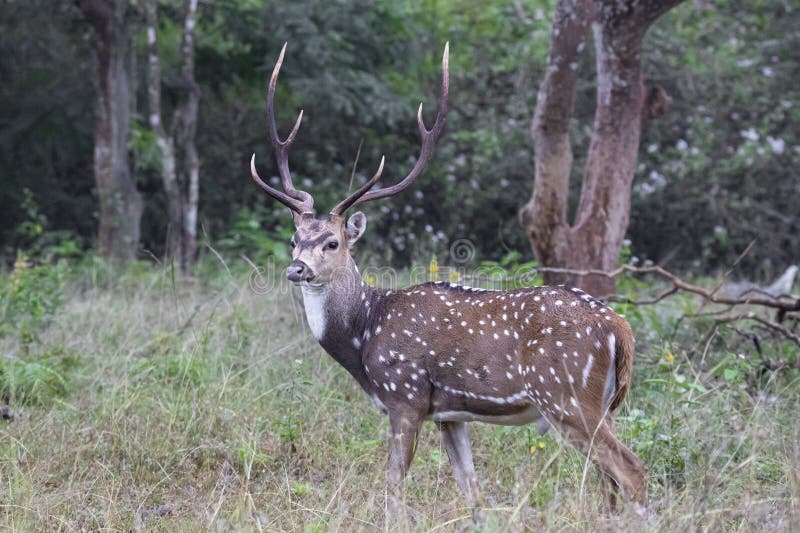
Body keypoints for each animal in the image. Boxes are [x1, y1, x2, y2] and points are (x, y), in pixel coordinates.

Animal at [249, 42, 646, 516]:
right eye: (295, 239)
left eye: (332, 242)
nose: (297, 268)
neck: (364, 336)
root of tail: (620, 328)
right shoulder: (450, 414)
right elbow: (472, 489)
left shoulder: (405, 395)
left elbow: (393, 486)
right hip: (602, 404)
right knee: (610, 481)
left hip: (567, 394)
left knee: (631, 470)